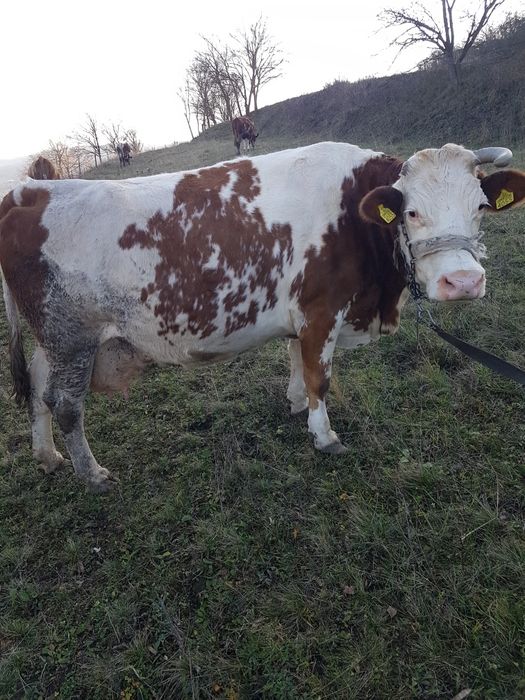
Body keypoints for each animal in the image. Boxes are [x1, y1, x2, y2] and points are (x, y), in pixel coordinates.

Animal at [1, 144, 524, 493]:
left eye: (480, 206)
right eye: (411, 213)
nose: (463, 281)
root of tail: (27, 191)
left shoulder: (301, 311)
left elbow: (296, 358)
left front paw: (295, 405)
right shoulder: (322, 307)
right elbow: (319, 376)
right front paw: (324, 435)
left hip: (54, 340)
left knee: (39, 391)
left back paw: (47, 456)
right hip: (74, 339)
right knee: (65, 405)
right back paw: (92, 474)